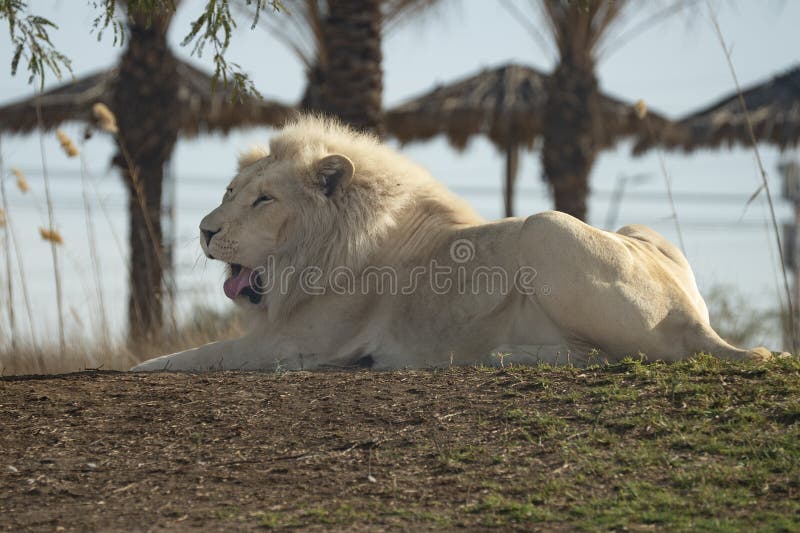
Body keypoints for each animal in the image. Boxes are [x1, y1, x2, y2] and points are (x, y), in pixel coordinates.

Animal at [132, 115, 780, 372]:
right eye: (230, 190)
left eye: (264, 200)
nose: (205, 229)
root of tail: (698, 318)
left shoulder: (292, 346)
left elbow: (182, 358)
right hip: (636, 231)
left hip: (545, 225)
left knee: (638, 355)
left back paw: (500, 354)